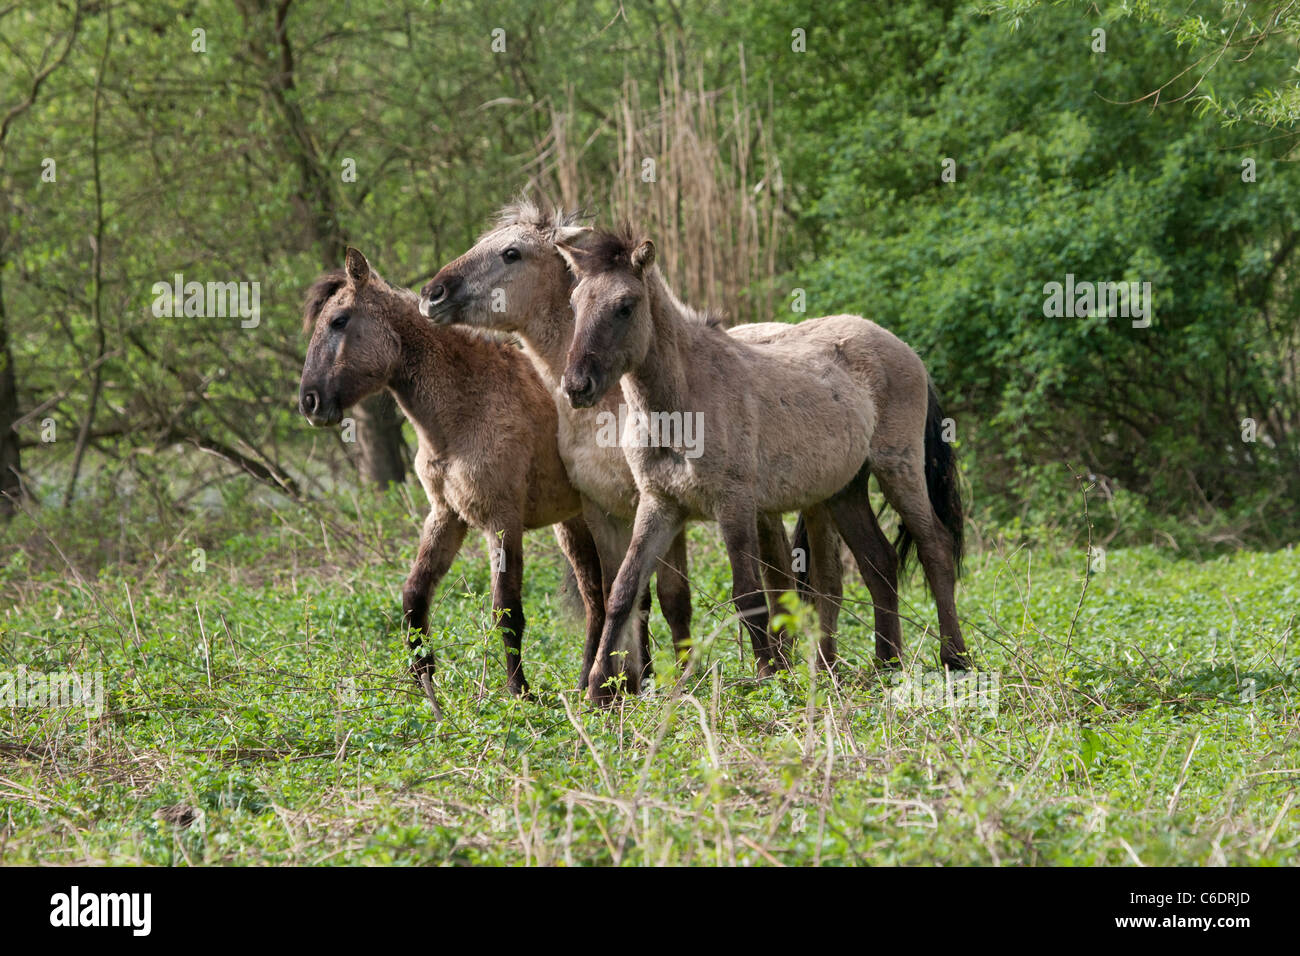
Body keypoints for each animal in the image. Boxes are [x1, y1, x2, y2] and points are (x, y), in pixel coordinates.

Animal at [297, 248, 606, 696]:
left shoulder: (501, 521)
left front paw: (519, 691)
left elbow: (506, 608)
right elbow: (414, 596)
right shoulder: (446, 516)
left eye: (339, 320)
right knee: (598, 595)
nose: (310, 402)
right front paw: (423, 677)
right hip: (573, 524)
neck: (467, 406)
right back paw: (590, 680)